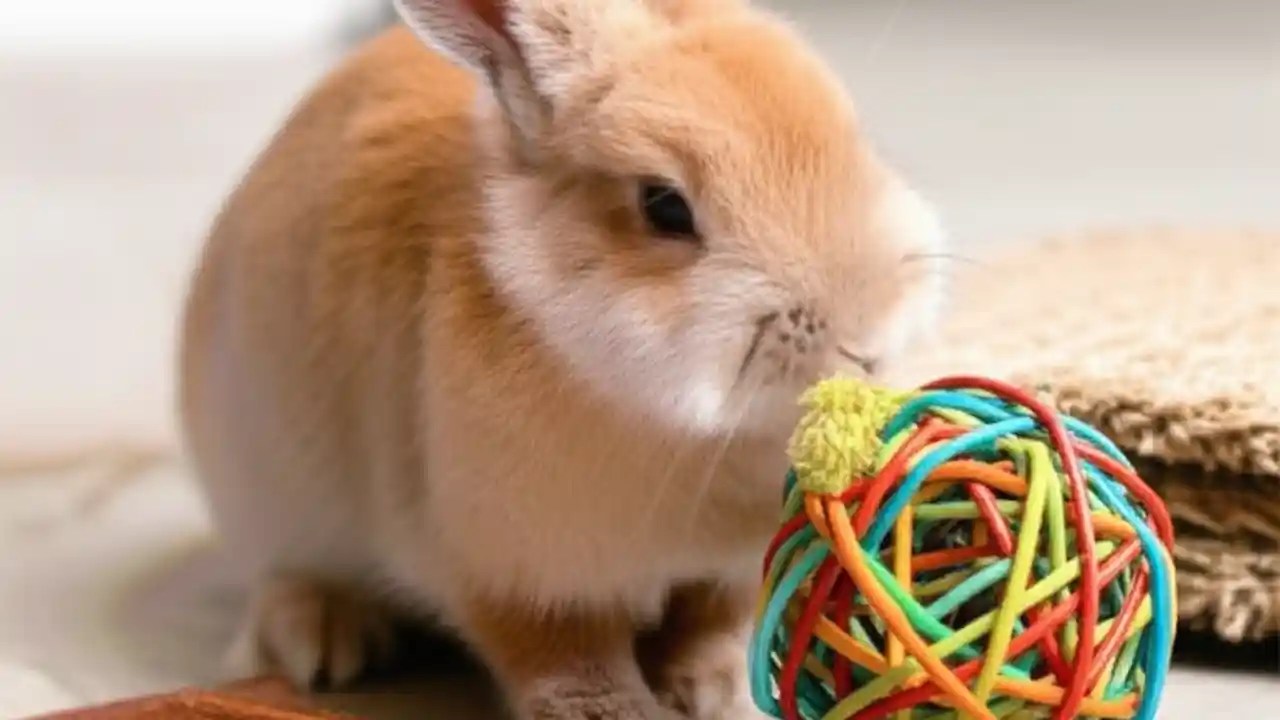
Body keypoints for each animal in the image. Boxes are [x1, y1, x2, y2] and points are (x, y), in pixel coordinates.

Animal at [179, 0, 947, 718]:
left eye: (855, 141)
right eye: (664, 206)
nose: (864, 343)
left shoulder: (726, 570)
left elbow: (712, 624)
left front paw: (715, 692)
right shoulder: (523, 578)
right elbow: (569, 662)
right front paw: (619, 713)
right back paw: (325, 640)